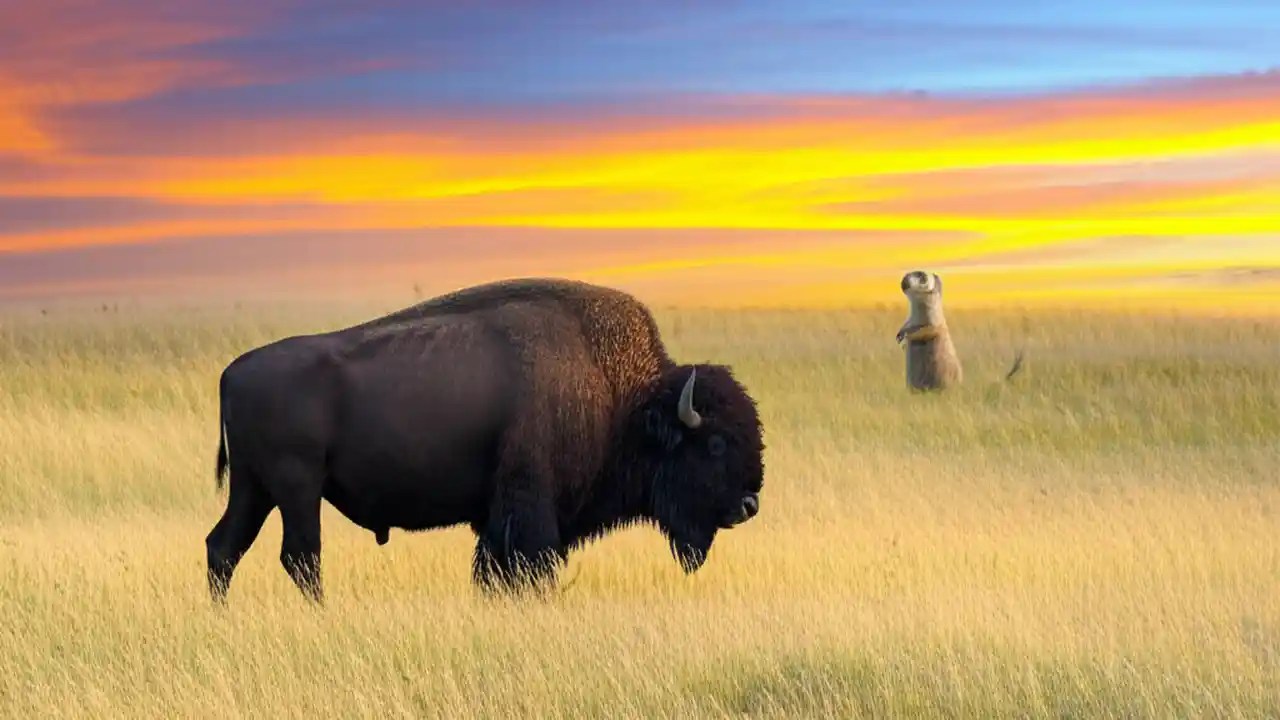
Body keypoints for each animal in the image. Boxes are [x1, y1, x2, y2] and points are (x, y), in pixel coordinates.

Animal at [206, 278, 764, 602]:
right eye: (716, 444)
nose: (749, 504)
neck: (619, 395)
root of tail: (231, 372)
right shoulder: (529, 510)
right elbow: (527, 565)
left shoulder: (498, 520)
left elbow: (491, 569)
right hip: (297, 491)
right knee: (300, 555)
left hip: (255, 490)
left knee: (224, 547)